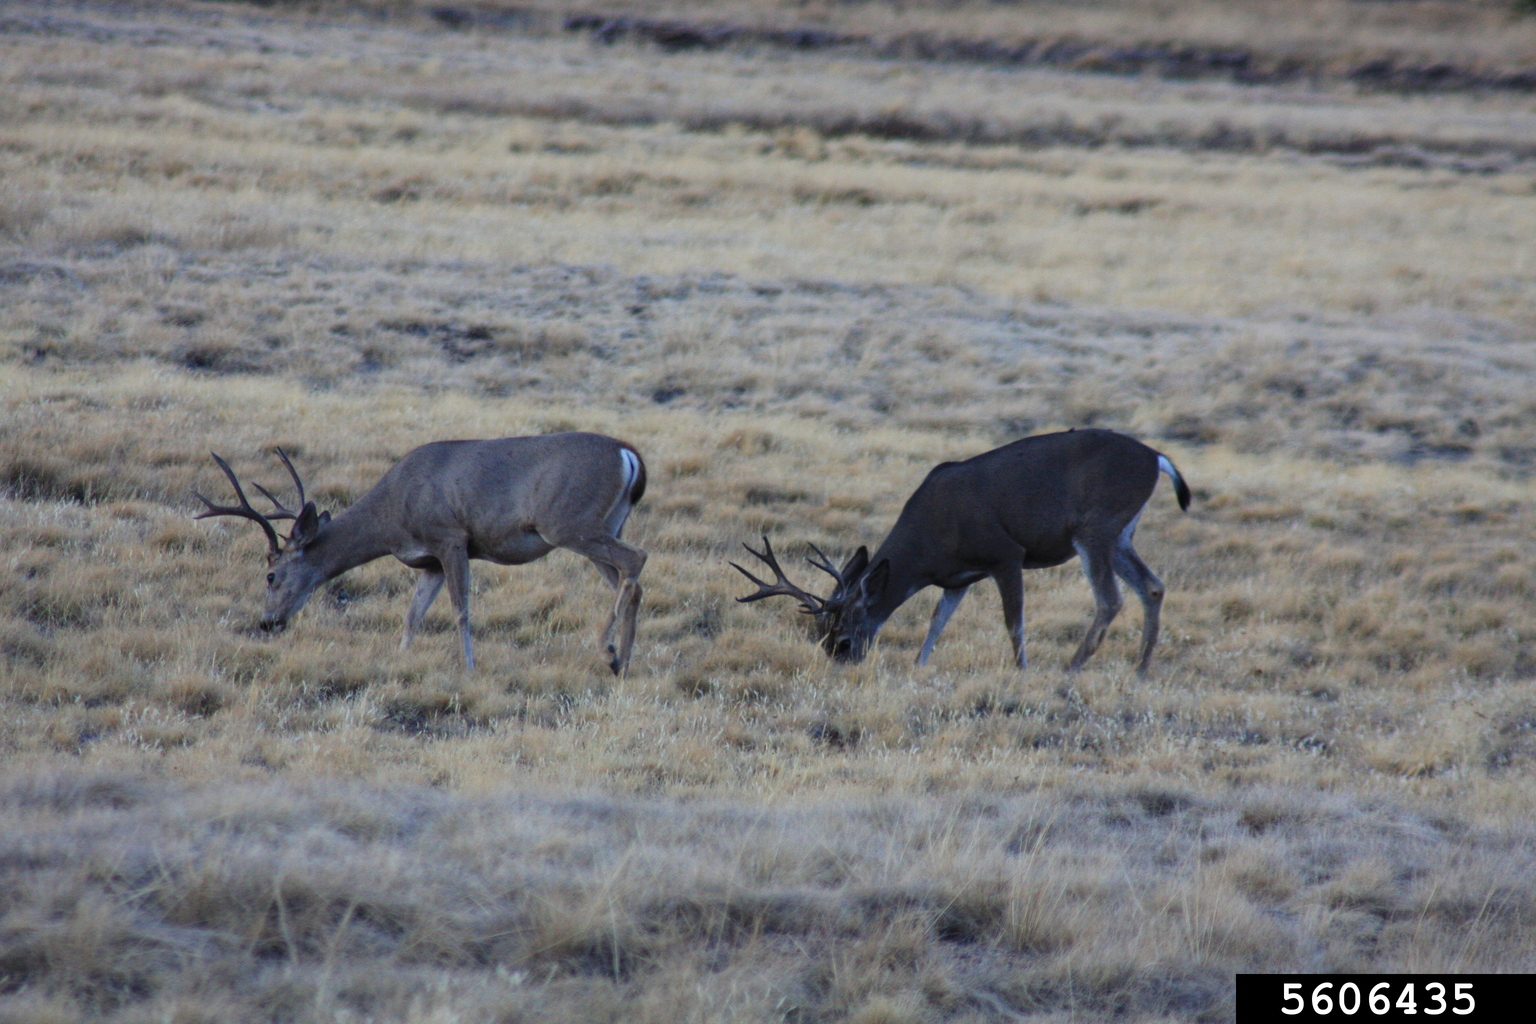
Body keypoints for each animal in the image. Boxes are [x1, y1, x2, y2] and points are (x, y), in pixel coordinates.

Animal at [193, 433, 648, 674]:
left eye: (270, 575)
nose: (267, 622)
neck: (394, 514)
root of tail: (629, 455)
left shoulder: (451, 536)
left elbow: (461, 608)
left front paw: (469, 668)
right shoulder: (428, 561)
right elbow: (412, 614)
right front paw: (401, 660)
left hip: (568, 522)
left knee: (636, 559)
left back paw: (608, 652)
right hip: (605, 524)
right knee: (631, 579)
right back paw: (624, 663)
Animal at [733, 428, 1190, 676]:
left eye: (843, 640)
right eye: (822, 639)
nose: (842, 664)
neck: (931, 542)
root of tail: (1158, 457)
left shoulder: (1006, 554)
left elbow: (1013, 622)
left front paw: (1021, 670)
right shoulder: (958, 577)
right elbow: (937, 622)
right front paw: (918, 667)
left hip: (1096, 527)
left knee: (1110, 599)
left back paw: (1070, 670)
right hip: (1121, 533)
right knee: (1152, 586)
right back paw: (1139, 672)